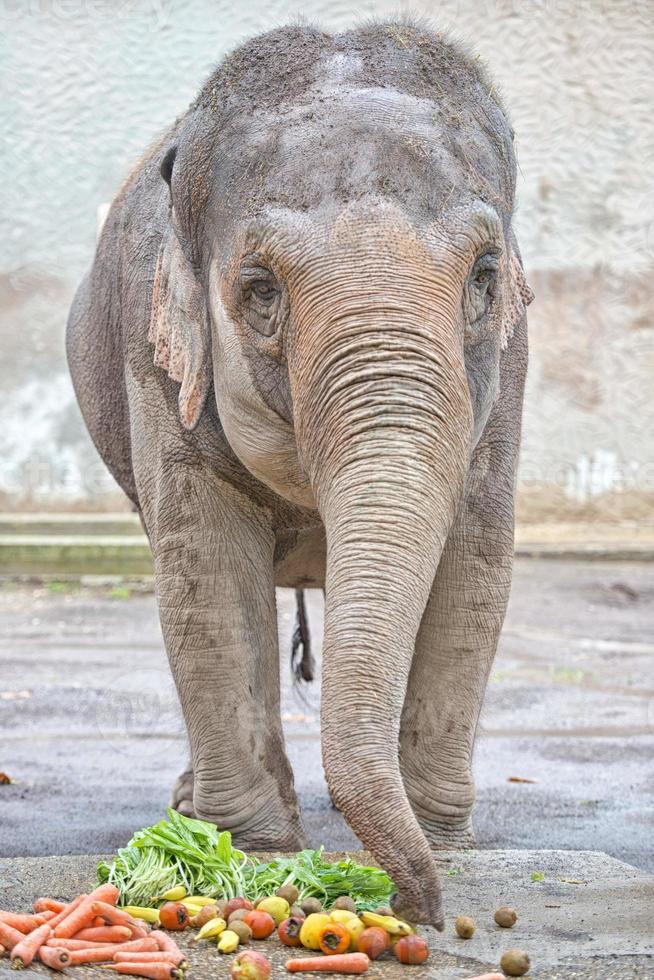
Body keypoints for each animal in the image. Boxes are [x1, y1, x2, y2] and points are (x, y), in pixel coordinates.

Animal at [67, 20, 533, 928]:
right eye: (258, 289)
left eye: (486, 277)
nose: (421, 909)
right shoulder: (152, 351)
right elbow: (205, 573)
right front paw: (249, 843)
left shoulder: (514, 363)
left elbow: (477, 566)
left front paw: (446, 842)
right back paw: (191, 806)